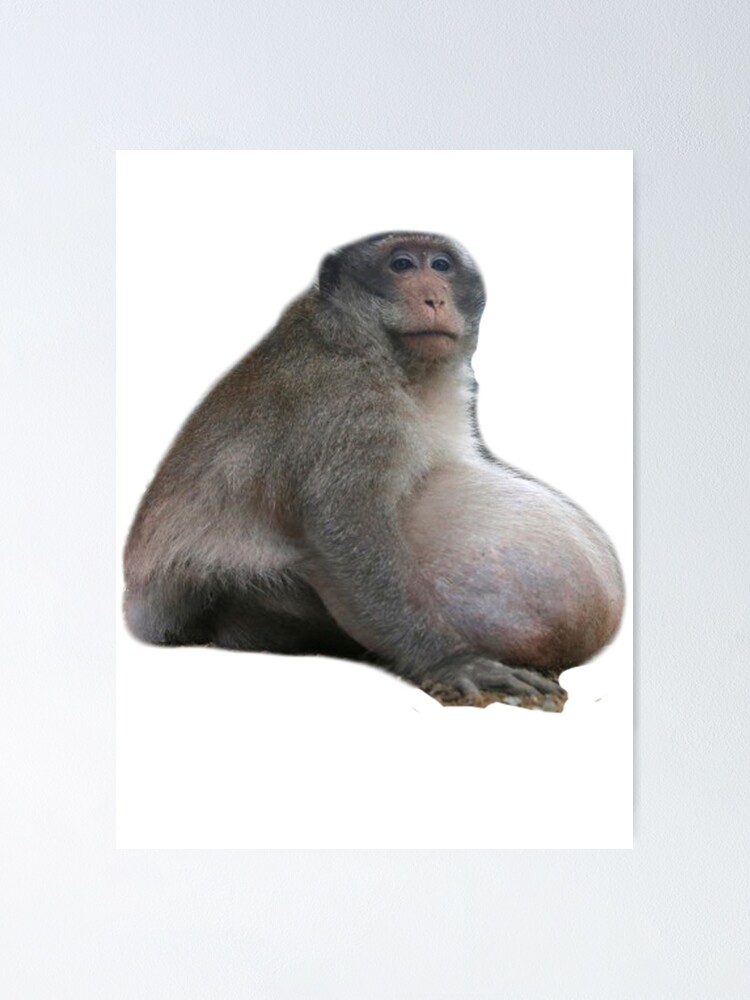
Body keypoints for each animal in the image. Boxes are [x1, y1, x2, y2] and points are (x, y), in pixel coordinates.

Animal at [123, 231, 624, 711]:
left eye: (440, 265)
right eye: (402, 264)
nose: (434, 297)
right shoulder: (347, 405)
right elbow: (341, 524)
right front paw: (451, 661)